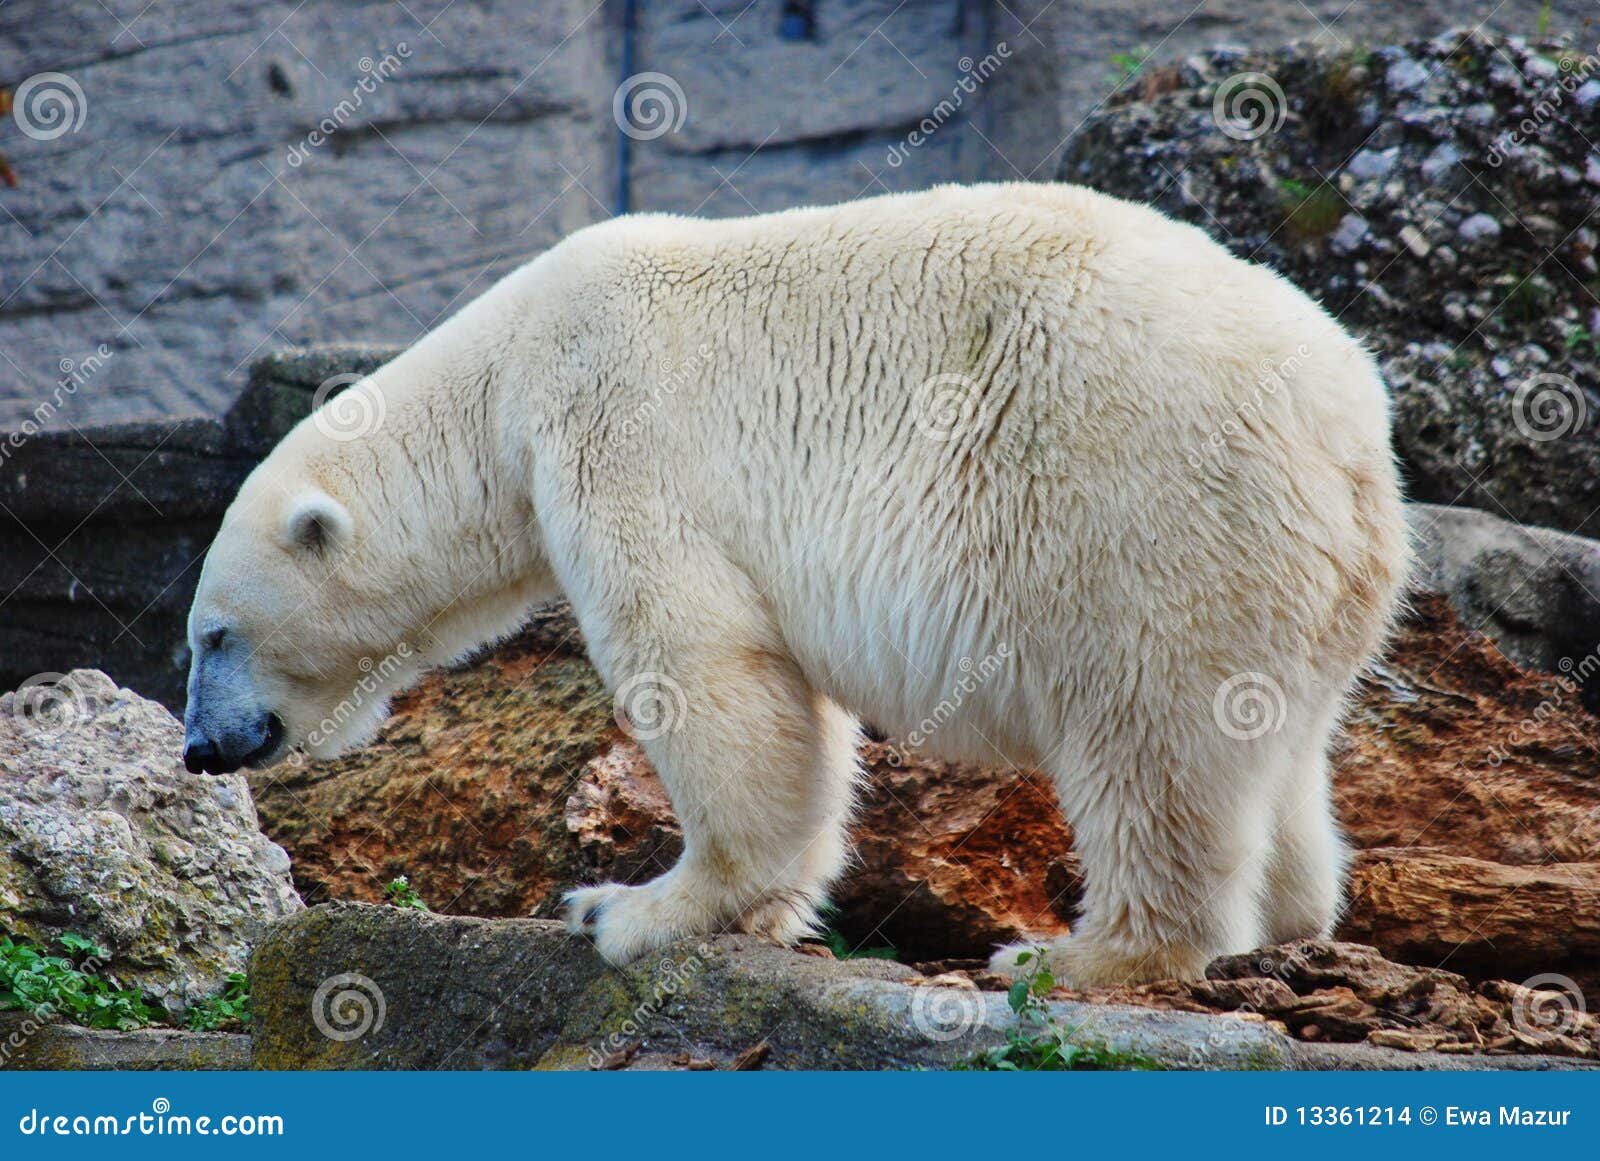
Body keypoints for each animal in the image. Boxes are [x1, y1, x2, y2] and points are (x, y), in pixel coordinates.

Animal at [182, 182, 1409, 986]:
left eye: (213, 636)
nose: (201, 747)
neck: (507, 369)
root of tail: (1348, 419)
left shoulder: (617, 425)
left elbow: (702, 661)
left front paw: (631, 908)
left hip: (1143, 501)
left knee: (1150, 730)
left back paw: (1078, 954)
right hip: (1305, 571)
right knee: (1274, 743)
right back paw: (1289, 917)